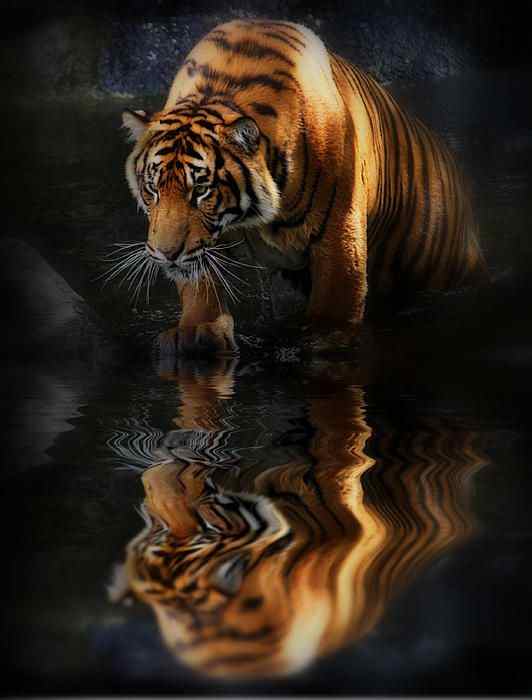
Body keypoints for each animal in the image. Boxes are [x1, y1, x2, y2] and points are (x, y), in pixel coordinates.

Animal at [122, 19, 488, 355]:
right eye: (152, 189)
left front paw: (325, 341)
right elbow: (199, 283)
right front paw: (197, 331)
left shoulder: (338, 238)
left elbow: (333, 310)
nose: (166, 255)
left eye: (200, 191)